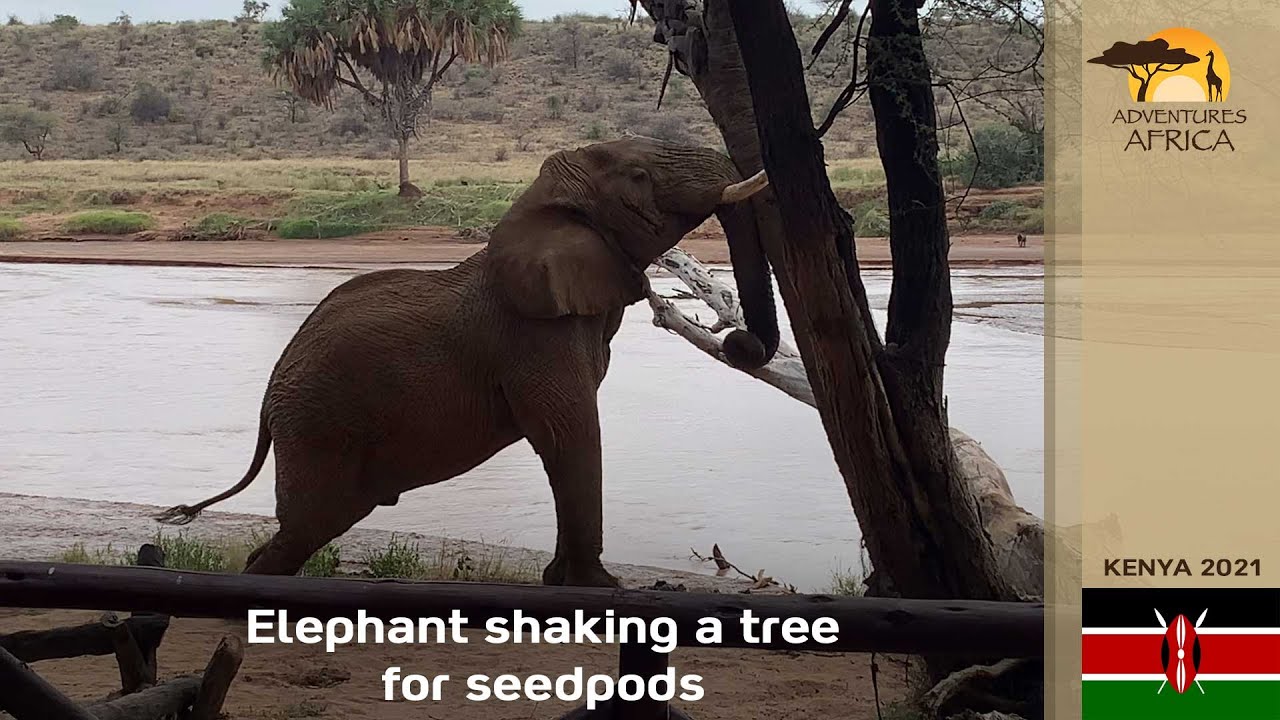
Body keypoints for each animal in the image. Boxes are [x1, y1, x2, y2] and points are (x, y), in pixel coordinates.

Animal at [154, 137, 779, 588]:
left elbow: (565, 441)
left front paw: (560, 581)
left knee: (305, 529)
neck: (536, 207)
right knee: (309, 525)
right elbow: (569, 434)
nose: (739, 343)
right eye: (639, 177)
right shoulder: (534, 337)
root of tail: (268, 397)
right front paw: (597, 587)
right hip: (319, 427)